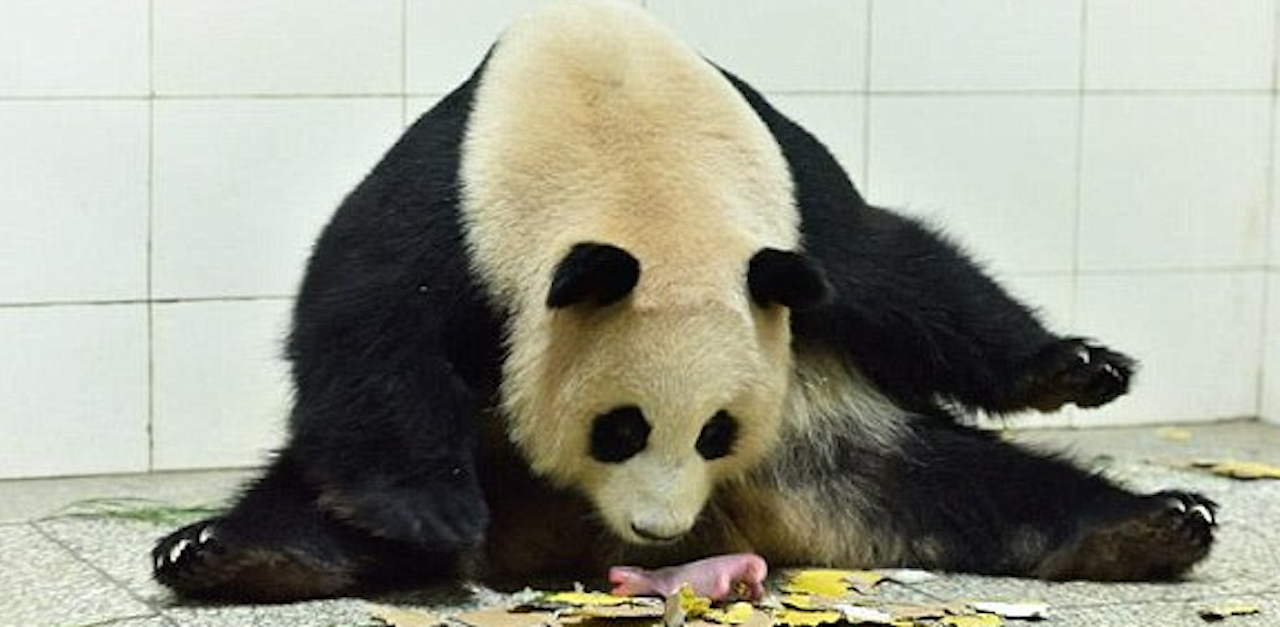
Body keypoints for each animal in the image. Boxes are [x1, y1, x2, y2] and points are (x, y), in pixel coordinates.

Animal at [152, 0, 1217, 603]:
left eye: (715, 431)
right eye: (618, 428)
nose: (659, 534)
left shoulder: (796, 198)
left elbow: (906, 276)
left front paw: (1081, 365)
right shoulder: (451, 199)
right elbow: (370, 326)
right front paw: (427, 511)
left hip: (828, 441)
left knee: (968, 483)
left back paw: (1152, 525)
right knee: (304, 498)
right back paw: (234, 555)